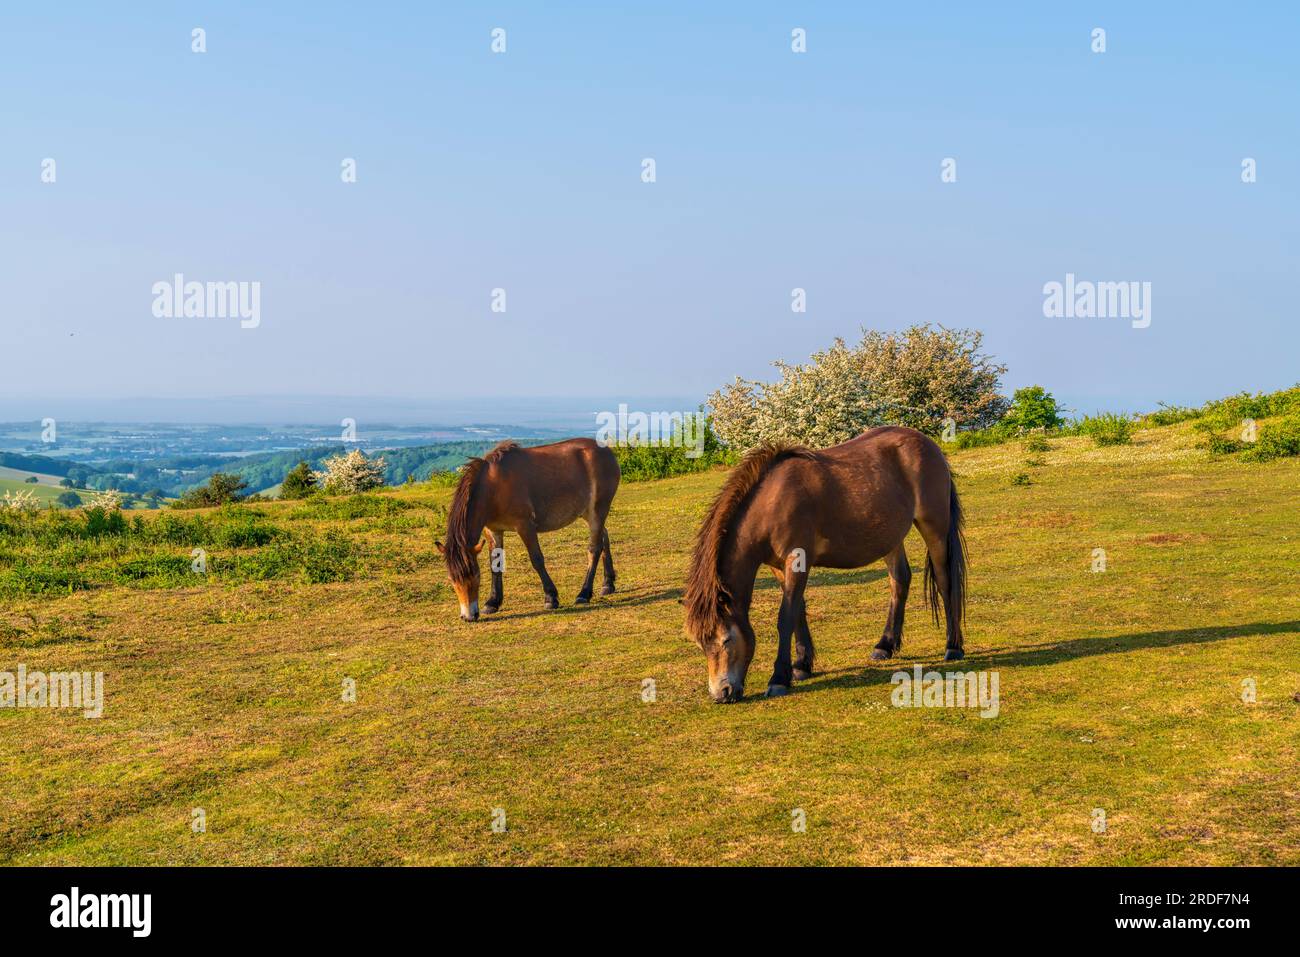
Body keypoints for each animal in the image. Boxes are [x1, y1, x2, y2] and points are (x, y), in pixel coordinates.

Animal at [435, 438, 620, 621]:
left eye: (476, 575)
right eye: (452, 579)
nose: (468, 616)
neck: (494, 487)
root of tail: (607, 451)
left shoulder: (525, 526)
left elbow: (537, 559)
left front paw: (550, 597)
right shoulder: (493, 530)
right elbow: (495, 564)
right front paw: (492, 602)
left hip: (598, 510)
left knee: (594, 549)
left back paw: (584, 593)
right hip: (588, 513)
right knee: (604, 537)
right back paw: (608, 584)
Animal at [683, 426, 967, 703]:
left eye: (726, 640)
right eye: (700, 643)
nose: (721, 693)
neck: (772, 502)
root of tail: (928, 444)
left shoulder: (797, 560)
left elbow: (785, 617)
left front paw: (779, 678)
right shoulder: (778, 567)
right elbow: (797, 611)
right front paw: (801, 665)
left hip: (935, 528)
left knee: (945, 582)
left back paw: (953, 646)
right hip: (891, 537)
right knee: (900, 581)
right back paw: (884, 646)